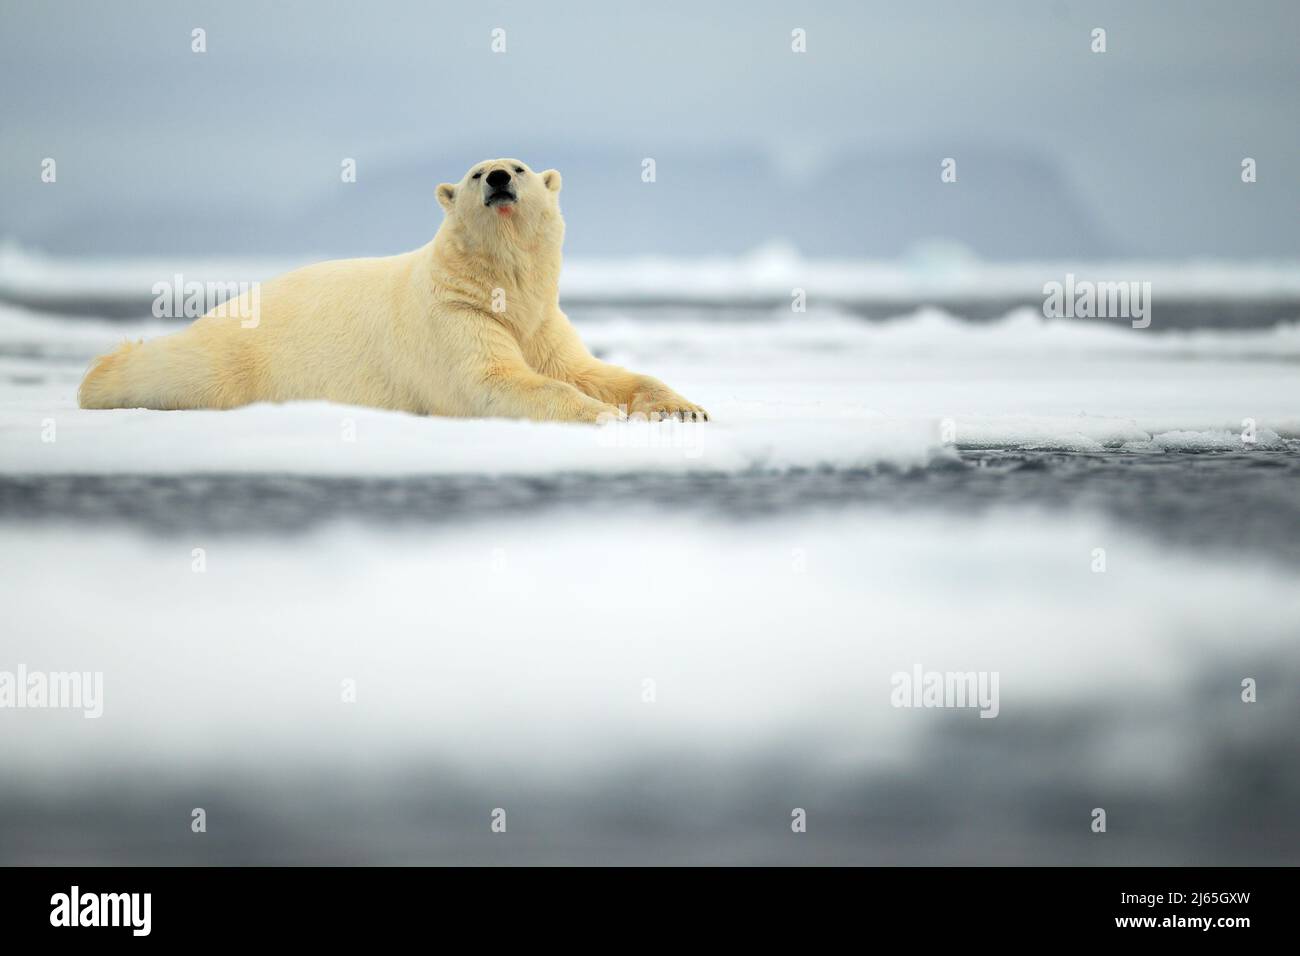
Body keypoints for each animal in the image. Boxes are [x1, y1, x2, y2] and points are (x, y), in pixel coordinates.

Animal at [78, 158, 708, 424]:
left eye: (522, 168)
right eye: (476, 172)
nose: (499, 178)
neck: (501, 286)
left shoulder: (542, 323)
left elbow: (588, 370)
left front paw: (684, 410)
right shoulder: (453, 316)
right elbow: (491, 381)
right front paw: (602, 416)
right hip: (238, 354)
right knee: (178, 369)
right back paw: (99, 378)